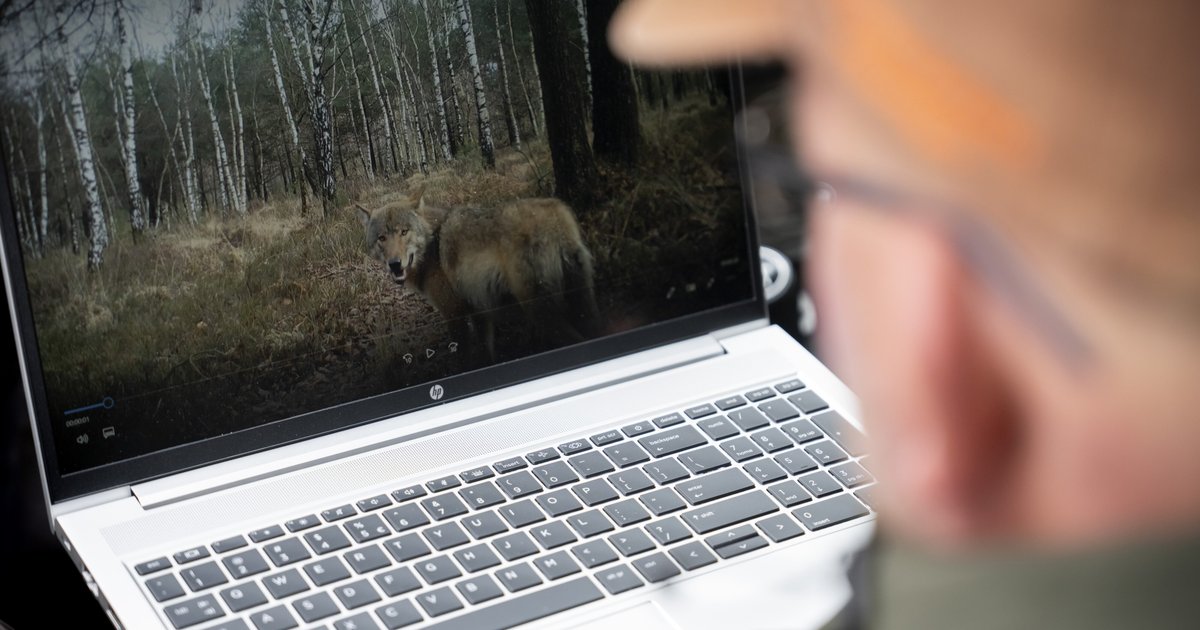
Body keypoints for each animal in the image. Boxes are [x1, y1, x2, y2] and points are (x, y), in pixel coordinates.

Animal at [357, 194, 600, 359]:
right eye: (382, 238)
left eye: (404, 232)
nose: (394, 264)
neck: (431, 244)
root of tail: (556, 215)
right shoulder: (479, 310)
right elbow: (486, 352)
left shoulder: (454, 314)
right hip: (582, 306)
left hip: (541, 313)